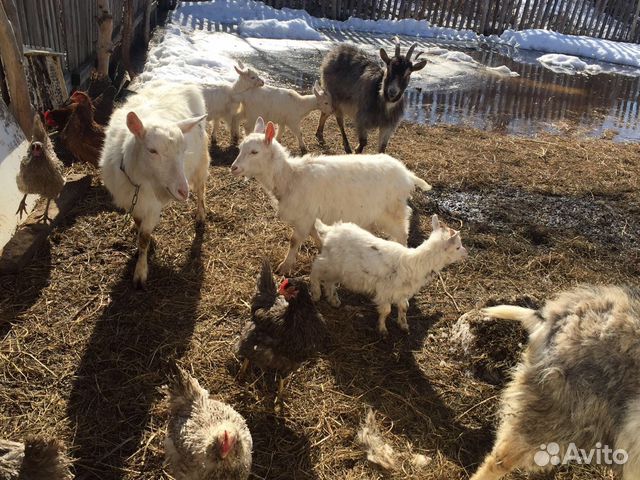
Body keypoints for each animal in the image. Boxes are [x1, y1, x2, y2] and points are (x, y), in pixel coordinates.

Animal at [100, 81, 209, 287]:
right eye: (152, 151)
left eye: (183, 149)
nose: (183, 191)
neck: (139, 180)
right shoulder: (134, 202)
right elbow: (138, 225)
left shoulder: (152, 206)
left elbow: (144, 238)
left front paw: (140, 273)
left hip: (200, 163)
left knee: (200, 189)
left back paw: (200, 215)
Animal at [230, 118, 432, 275]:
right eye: (240, 148)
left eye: (254, 152)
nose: (234, 168)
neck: (291, 177)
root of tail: (406, 174)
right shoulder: (308, 214)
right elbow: (312, 232)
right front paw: (323, 247)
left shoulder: (303, 214)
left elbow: (294, 241)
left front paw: (284, 267)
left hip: (393, 209)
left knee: (402, 233)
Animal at [310, 215, 467, 338]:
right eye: (457, 247)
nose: (467, 253)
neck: (414, 263)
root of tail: (330, 231)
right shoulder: (384, 290)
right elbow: (386, 310)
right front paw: (382, 330)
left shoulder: (402, 292)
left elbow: (404, 307)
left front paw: (403, 325)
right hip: (330, 262)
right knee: (315, 269)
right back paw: (315, 294)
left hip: (339, 270)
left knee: (329, 281)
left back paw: (333, 300)